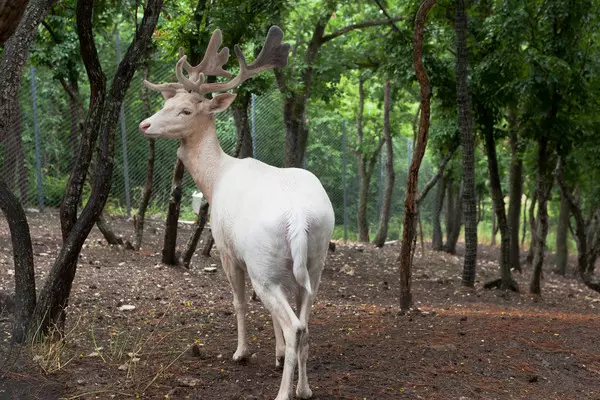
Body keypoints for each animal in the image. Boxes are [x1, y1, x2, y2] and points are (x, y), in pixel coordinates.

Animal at [139, 26, 336, 398]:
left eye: (186, 110)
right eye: (166, 104)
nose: (144, 125)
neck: (214, 179)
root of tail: (298, 218)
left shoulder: (227, 249)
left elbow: (239, 302)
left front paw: (241, 353)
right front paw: (276, 355)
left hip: (261, 263)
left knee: (294, 325)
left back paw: (283, 392)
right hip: (314, 261)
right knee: (305, 323)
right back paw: (305, 389)